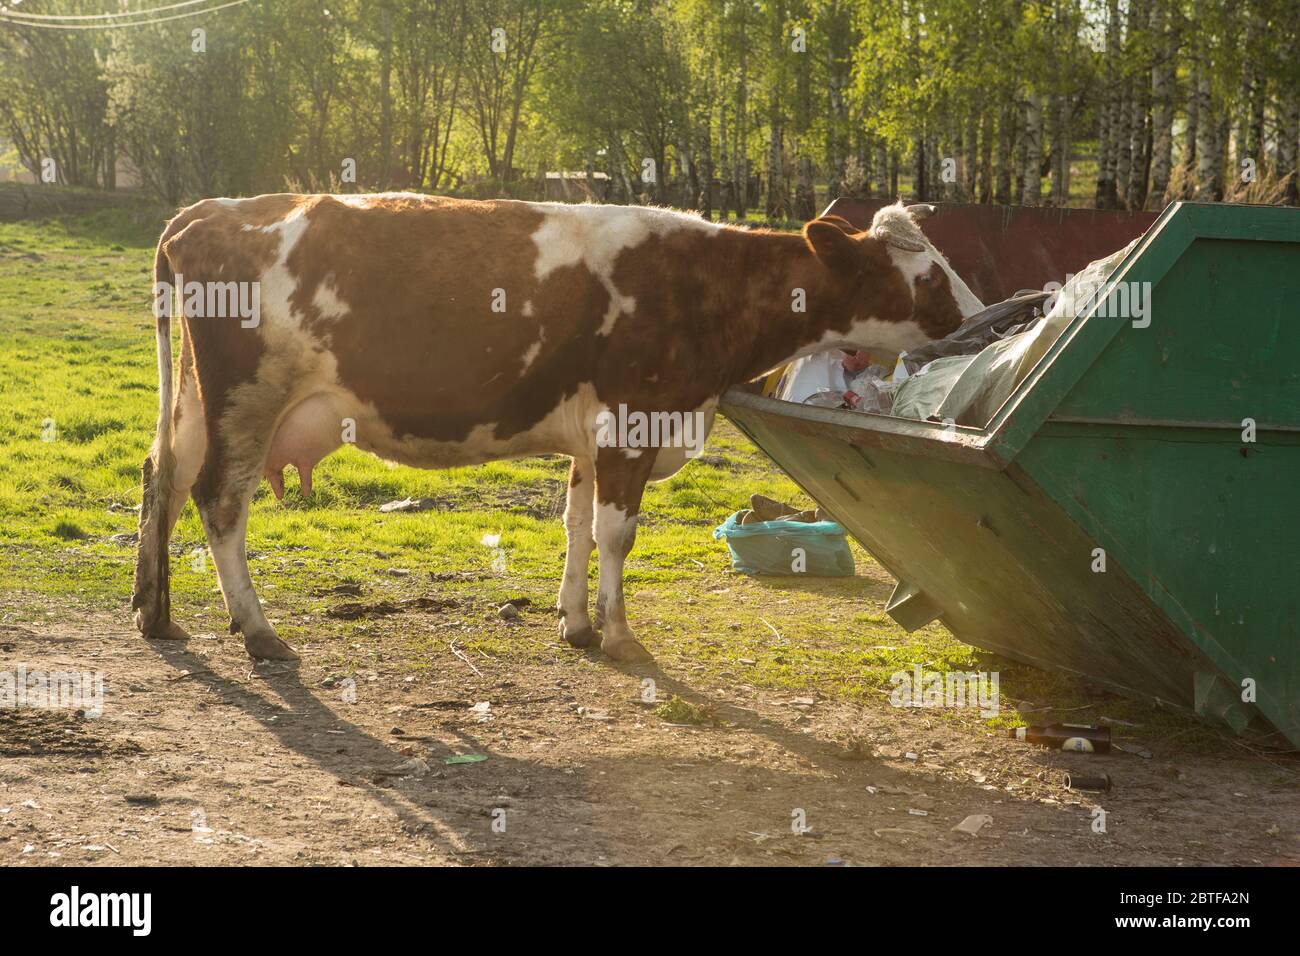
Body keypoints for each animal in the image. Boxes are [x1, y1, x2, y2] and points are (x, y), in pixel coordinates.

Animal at [131, 195, 983, 663]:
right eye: (929, 275)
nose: (979, 319)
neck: (707, 286)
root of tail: (207, 210)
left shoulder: (590, 438)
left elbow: (575, 524)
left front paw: (575, 623)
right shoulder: (633, 426)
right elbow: (614, 534)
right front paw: (619, 633)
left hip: (198, 401)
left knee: (161, 477)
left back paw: (156, 614)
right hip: (247, 396)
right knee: (218, 502)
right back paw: (256, 629)